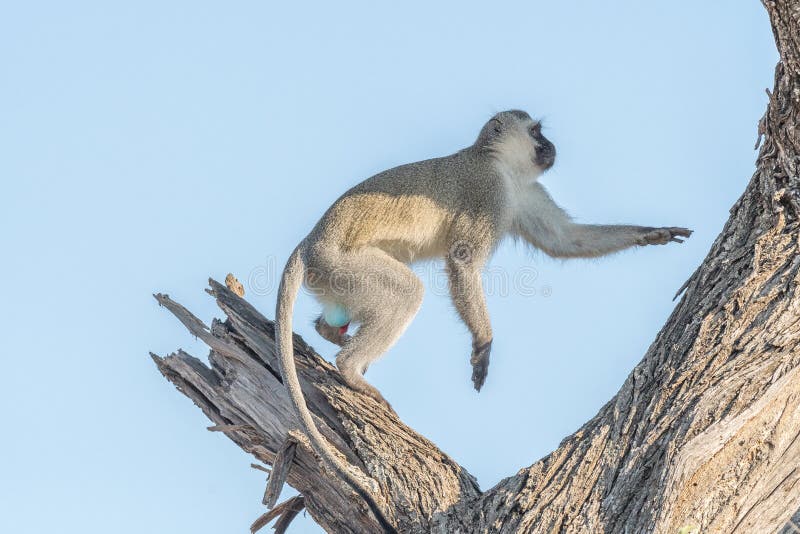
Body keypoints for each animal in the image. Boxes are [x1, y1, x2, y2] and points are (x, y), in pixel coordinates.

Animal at [274, 109, 691, 531]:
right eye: (537, 131)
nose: (552, 146)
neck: (502, 166)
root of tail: (308, 243)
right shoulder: (488, 192)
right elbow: (463, 261)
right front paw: (484, 343)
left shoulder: (526, 193)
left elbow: (566, 240)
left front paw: (651, 233)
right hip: (342, 265)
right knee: (407, 292)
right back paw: (350, 367)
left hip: (334, 277)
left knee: (341, 316)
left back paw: (332, 333)